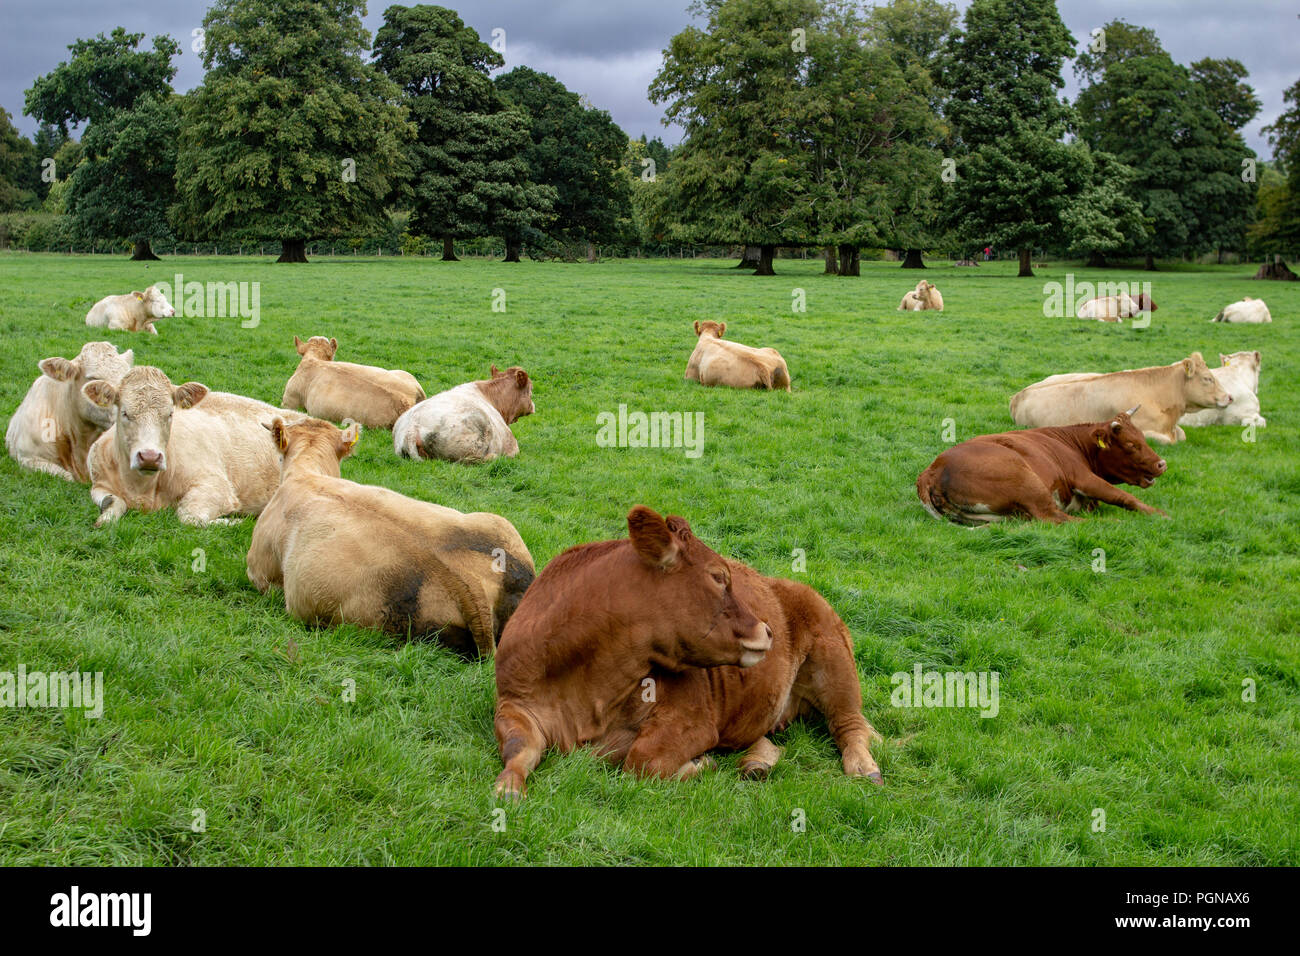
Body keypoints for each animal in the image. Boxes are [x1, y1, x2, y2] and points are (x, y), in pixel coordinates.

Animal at [84, 366, 309, 527]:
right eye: (124, 413)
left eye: (170, 414)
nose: (149, 457)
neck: (142, 489)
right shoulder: (99, 483)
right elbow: (113, 503)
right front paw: (105, 517)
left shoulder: (216, 486)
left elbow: (189, 517)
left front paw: (235, 521)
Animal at [492, 505, 881, 799]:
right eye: (719, 577)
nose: (767, 630)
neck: (587, 695)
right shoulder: (513, 702)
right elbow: (517, 747)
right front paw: (508, 788)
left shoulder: (693, 717)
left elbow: (642, 760)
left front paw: (700, 764)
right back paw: (757, 763)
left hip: (835, 660)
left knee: (849, 724)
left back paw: (864, 768)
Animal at [917, 411, 1167, 525]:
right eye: (1131, 444)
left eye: (1143, 437)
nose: (1161, 464)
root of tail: (933, 469)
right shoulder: (1083, 477)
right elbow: (1122, 496)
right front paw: (1160, 514)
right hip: (1027, 481)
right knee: (1054, 517)